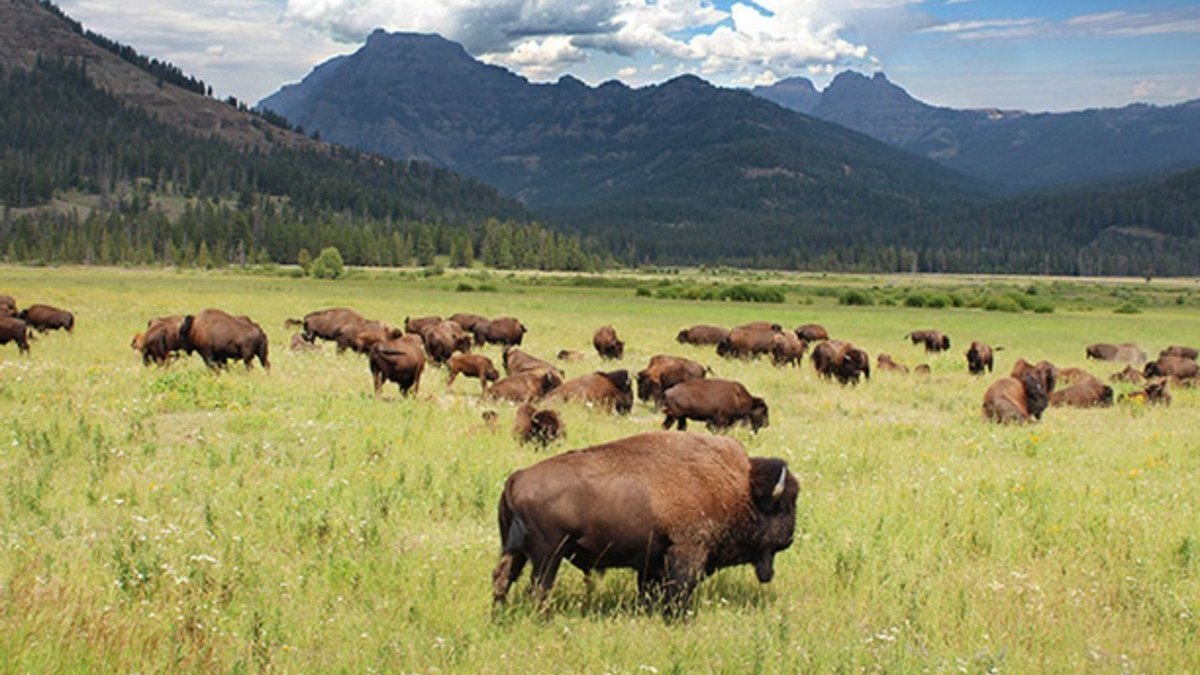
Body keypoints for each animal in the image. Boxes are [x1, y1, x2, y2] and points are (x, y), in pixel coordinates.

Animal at [491, 431, 798, 615]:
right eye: (784, 506)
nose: (790, 539)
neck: (739, 488)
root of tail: (516, 478)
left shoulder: (653, 559)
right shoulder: (687, 550)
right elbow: (680, 589)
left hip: (515, 550)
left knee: (502, 578)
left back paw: (499, 615)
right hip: (548, 556)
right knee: (538, 589)